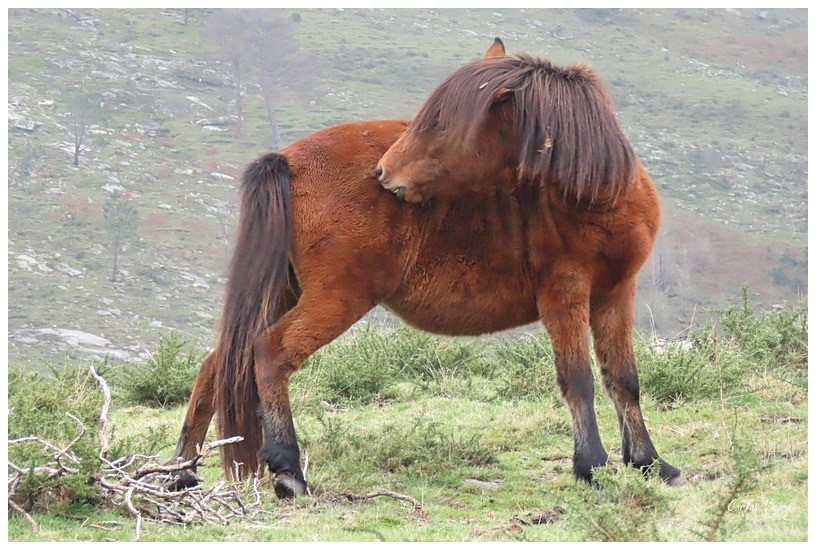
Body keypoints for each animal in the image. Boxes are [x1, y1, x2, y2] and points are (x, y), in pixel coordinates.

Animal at [170, 38, 686, 498]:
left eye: (439, 122)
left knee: (220, 365)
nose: (383, 173)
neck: (595, 194)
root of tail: (287, 160)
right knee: (270, 353)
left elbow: (624, 379)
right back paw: (288, 472)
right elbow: (577, 380)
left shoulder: (616, 292)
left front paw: (650, 463)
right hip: (335, 299)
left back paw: (181, 473)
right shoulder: (566, 294)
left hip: (286, 291)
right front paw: (591, 467)